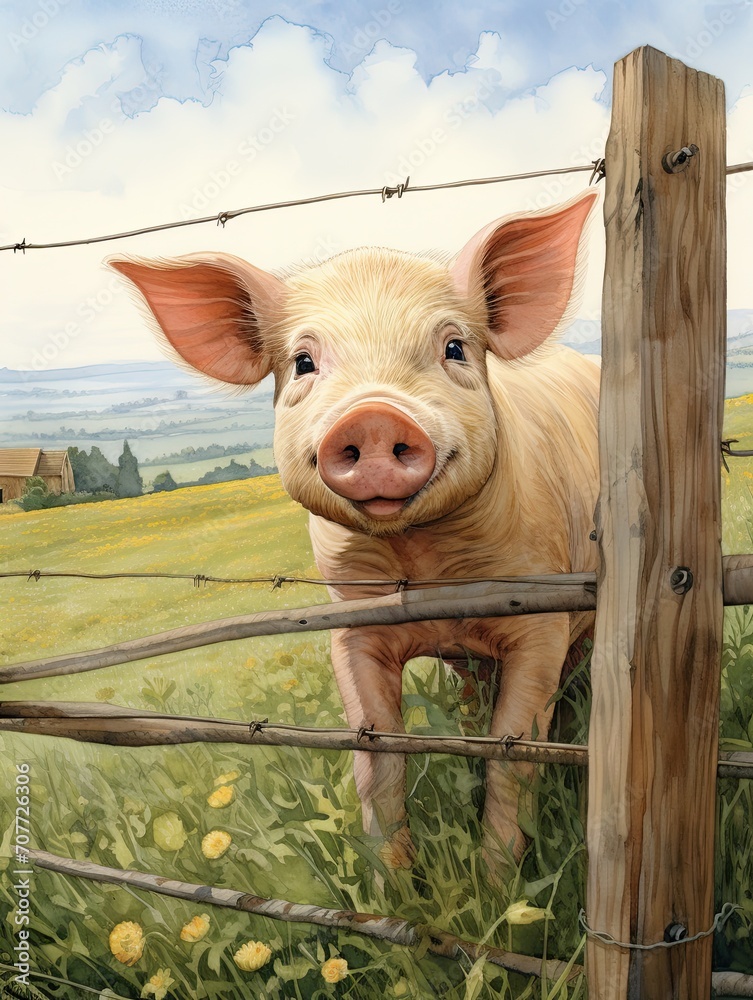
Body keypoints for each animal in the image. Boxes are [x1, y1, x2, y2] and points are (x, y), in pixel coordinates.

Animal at [109, 189, 600, 874]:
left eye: (454, 348)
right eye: (303, 362)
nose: (372, 414)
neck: (423, 562)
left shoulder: (543, 617)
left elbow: (515, 756)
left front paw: (498, 883)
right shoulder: (350, 621)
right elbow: (375, 758)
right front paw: (398, 887)